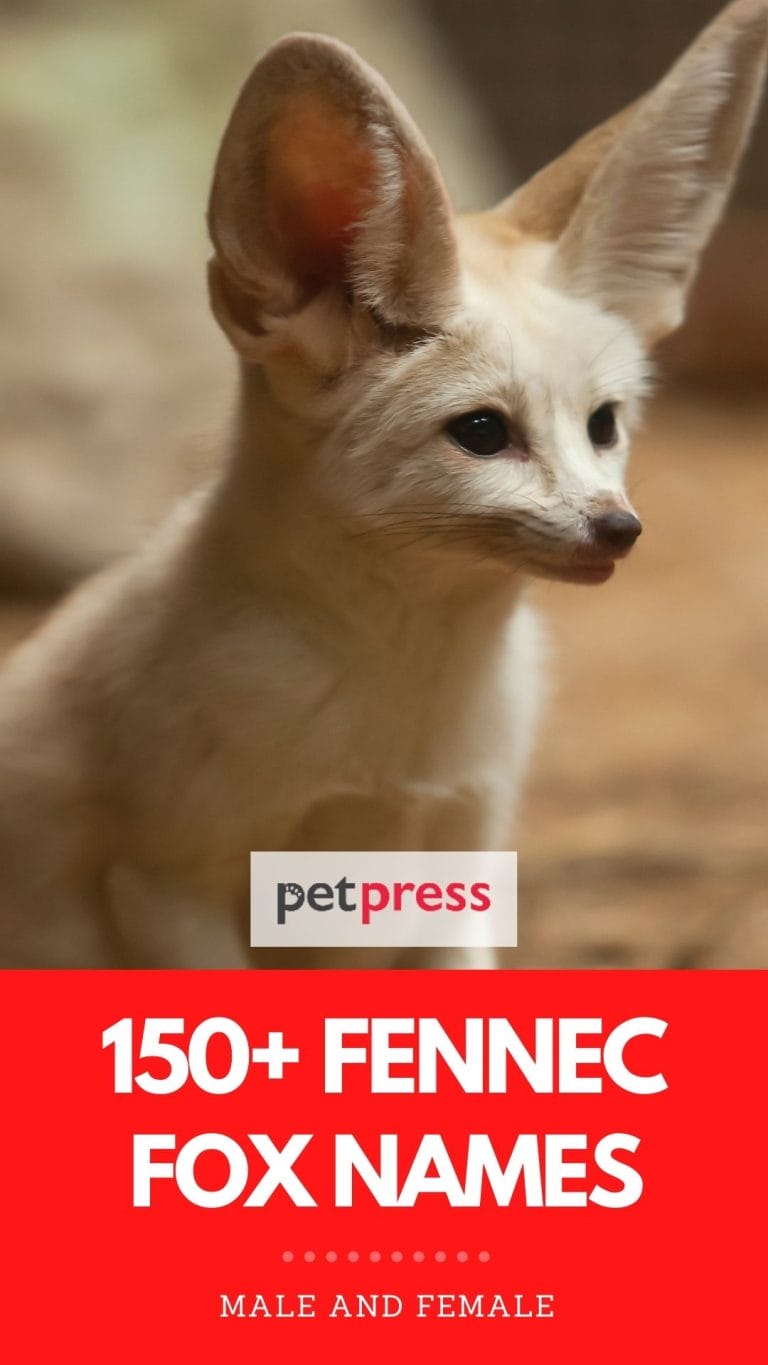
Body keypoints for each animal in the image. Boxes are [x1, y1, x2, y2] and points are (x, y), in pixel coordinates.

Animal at [0, 0, 765, 968]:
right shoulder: (166, 883)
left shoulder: (461, 872)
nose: (618, 527)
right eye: (481, 433)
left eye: (604, 424)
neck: (405, 725)